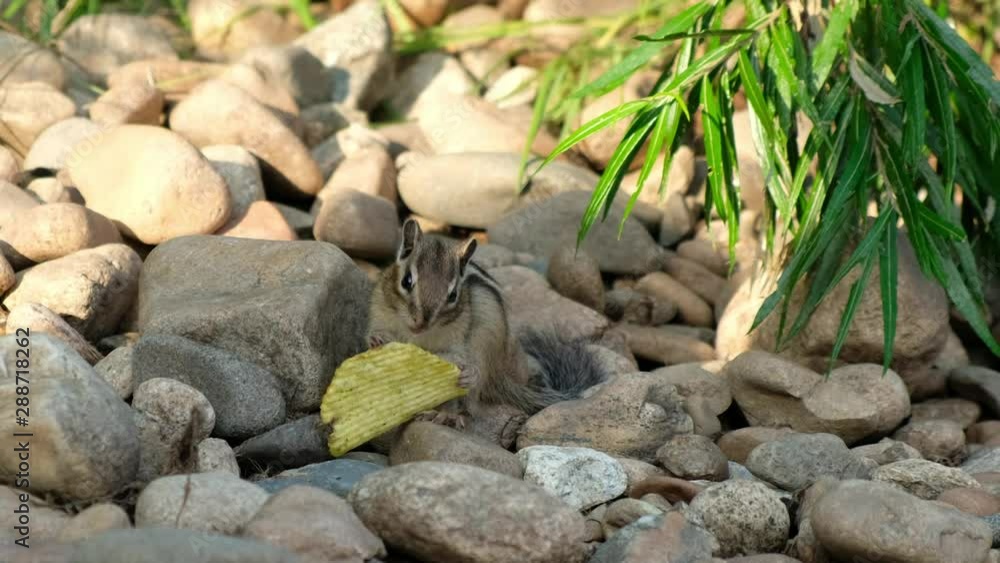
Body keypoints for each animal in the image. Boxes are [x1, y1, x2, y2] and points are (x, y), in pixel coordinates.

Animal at [366, 218, 608, 421]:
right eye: (406, 281)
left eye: (453, 295)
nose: (420, 323)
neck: (417, 337)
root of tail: (499, 374)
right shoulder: (380, 311)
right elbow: (375, 334)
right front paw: (377, 339)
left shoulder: (458, 341)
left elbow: (454, 358)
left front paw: (463, 372)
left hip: (485, 340)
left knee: (468, 399)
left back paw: (449, 412)